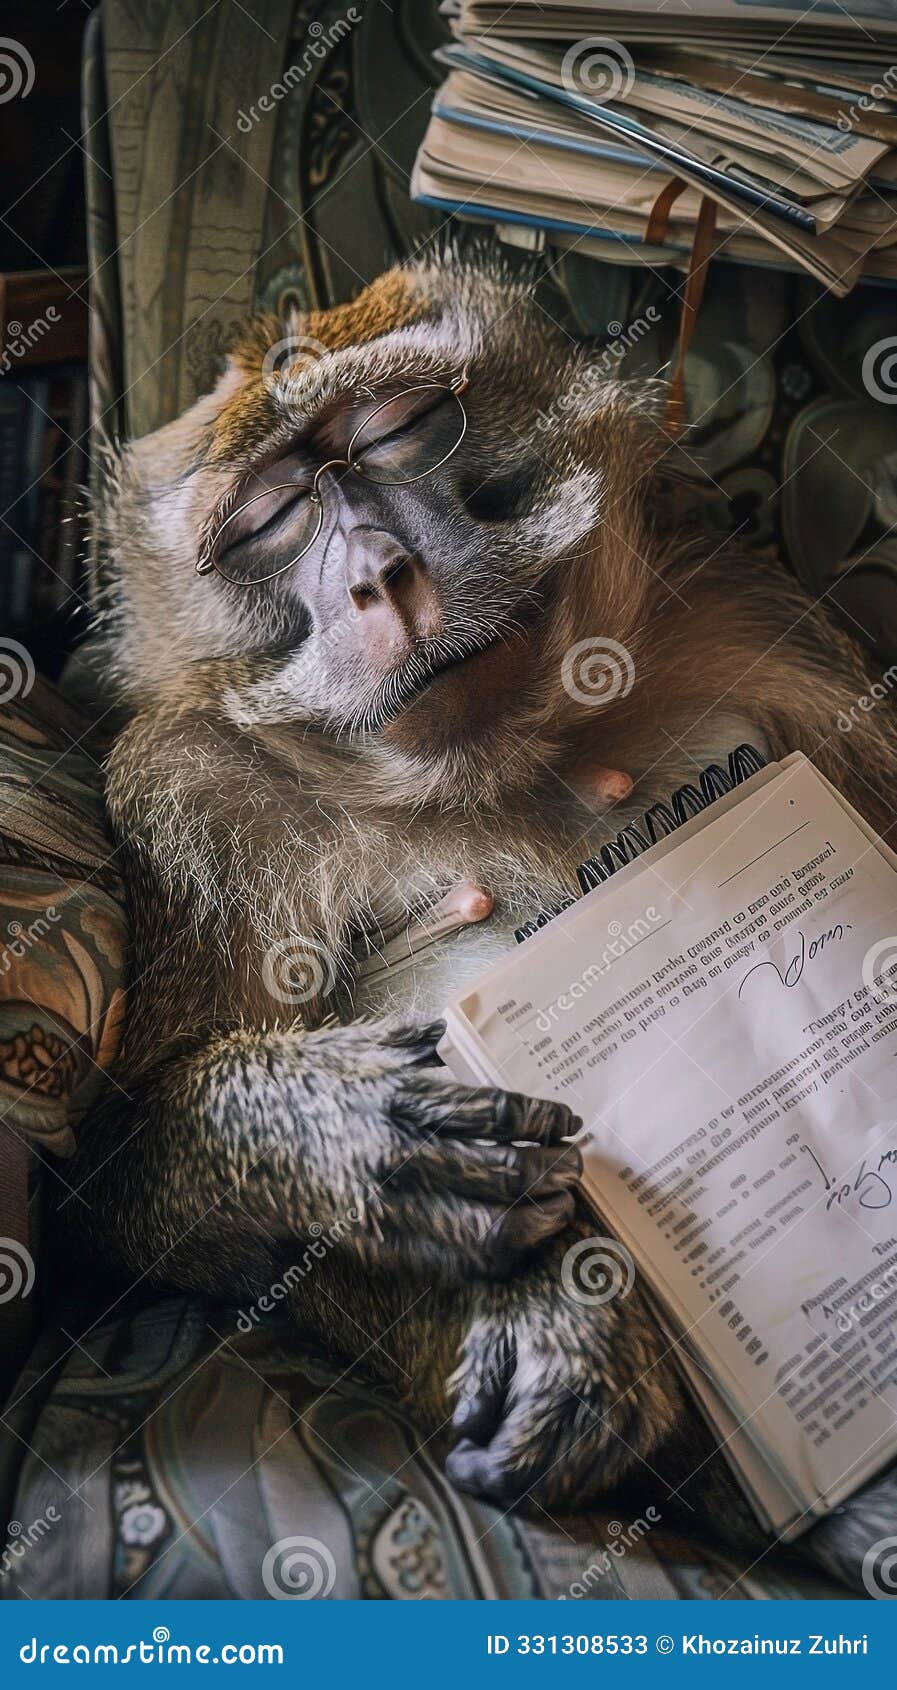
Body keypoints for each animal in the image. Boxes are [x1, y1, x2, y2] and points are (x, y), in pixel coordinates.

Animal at [64, 245, 897, 1589]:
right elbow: (118, 1183)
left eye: (397, 430)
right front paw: (517, 1277)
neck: (493, 759)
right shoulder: (188, 801)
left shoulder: (754, 621)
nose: (375, 573)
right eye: (270, 519)